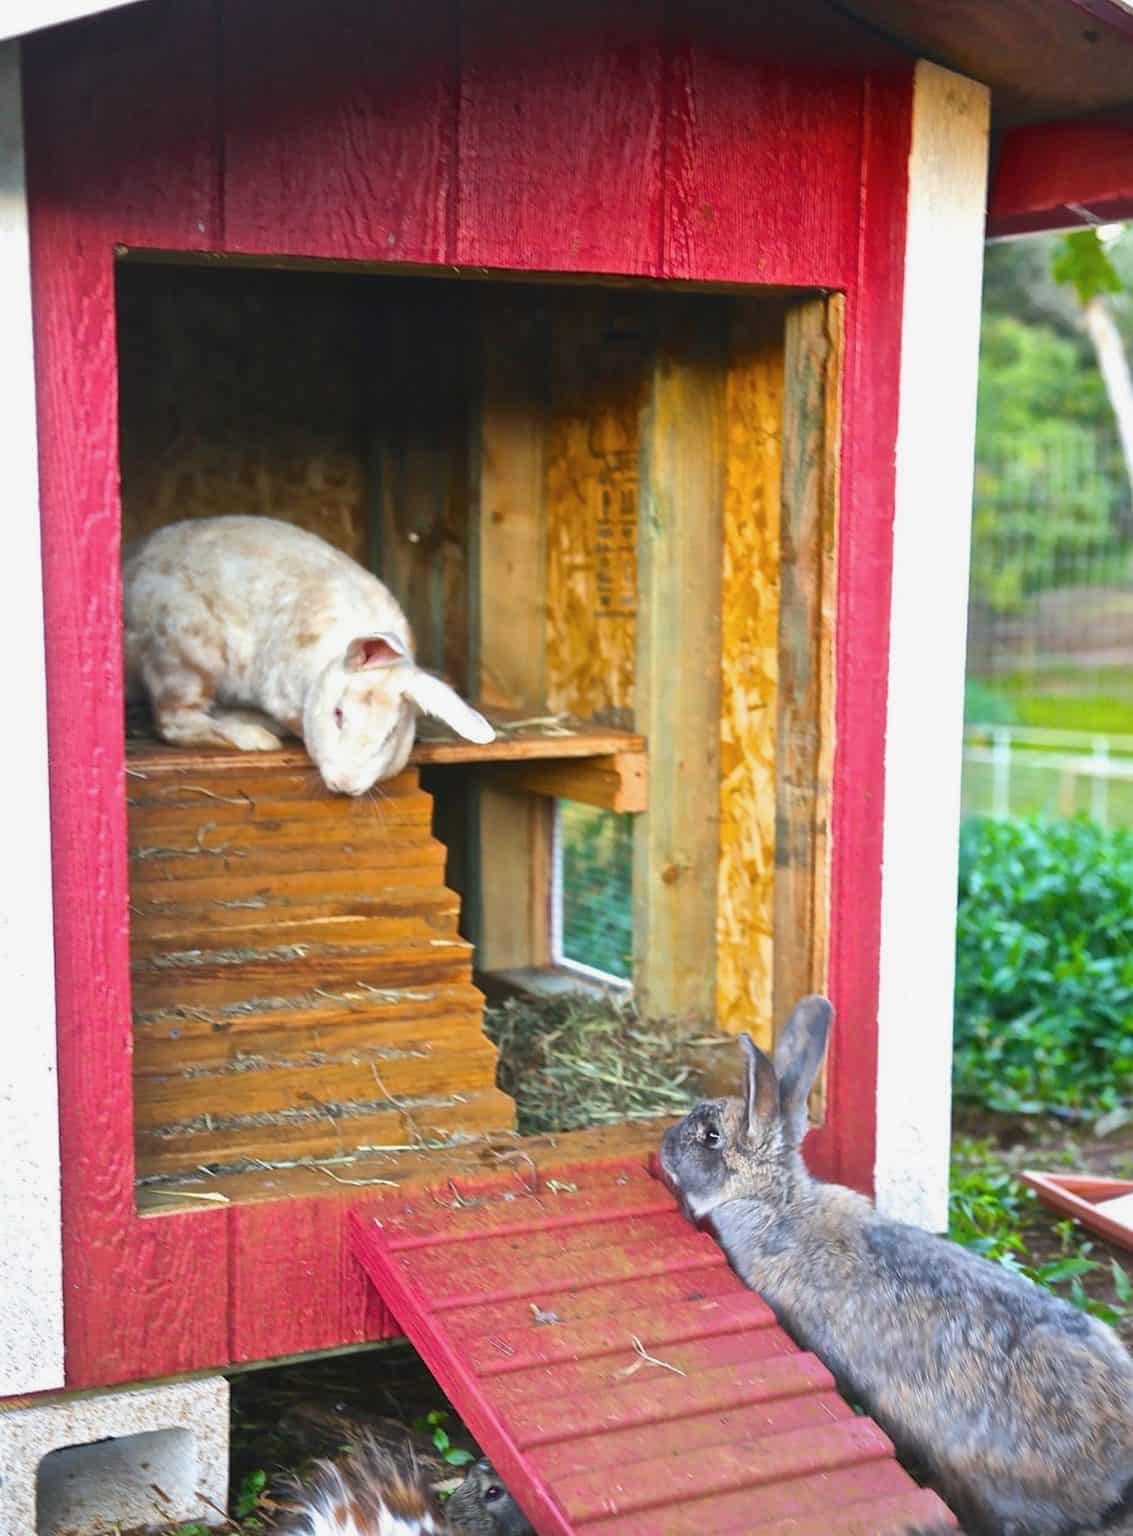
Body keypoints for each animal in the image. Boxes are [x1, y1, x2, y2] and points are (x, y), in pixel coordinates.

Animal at [122, 515, 494, 795]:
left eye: (391, 733)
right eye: (338, 714)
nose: (345, 784)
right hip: (186, 657)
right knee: (175, 722)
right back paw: (256, 738)